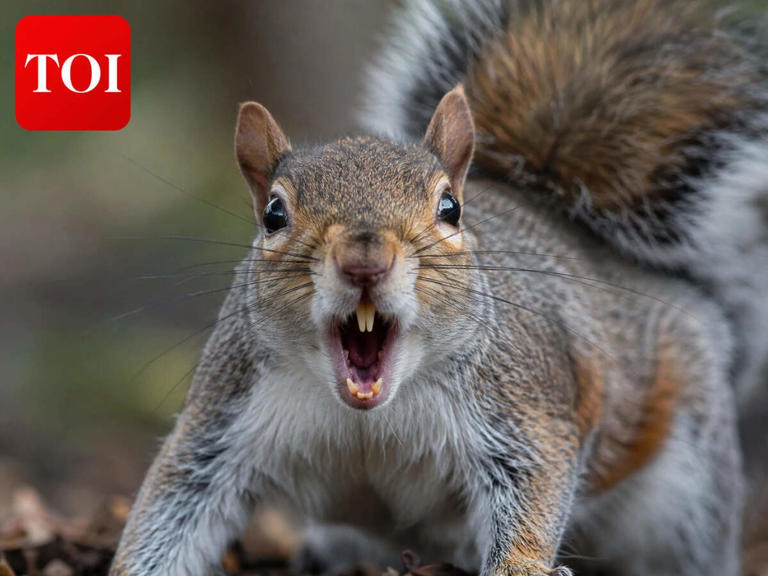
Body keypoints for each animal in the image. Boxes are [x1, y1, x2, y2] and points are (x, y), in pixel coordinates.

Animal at [111, 1, 768, 575]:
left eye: (449, 208)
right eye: (273, 214)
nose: (365, 260)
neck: (373, 412)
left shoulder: (524, 406)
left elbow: (535, 485)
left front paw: (522, 566)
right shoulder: (222, 416)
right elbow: (174, 505)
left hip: (688, 488)